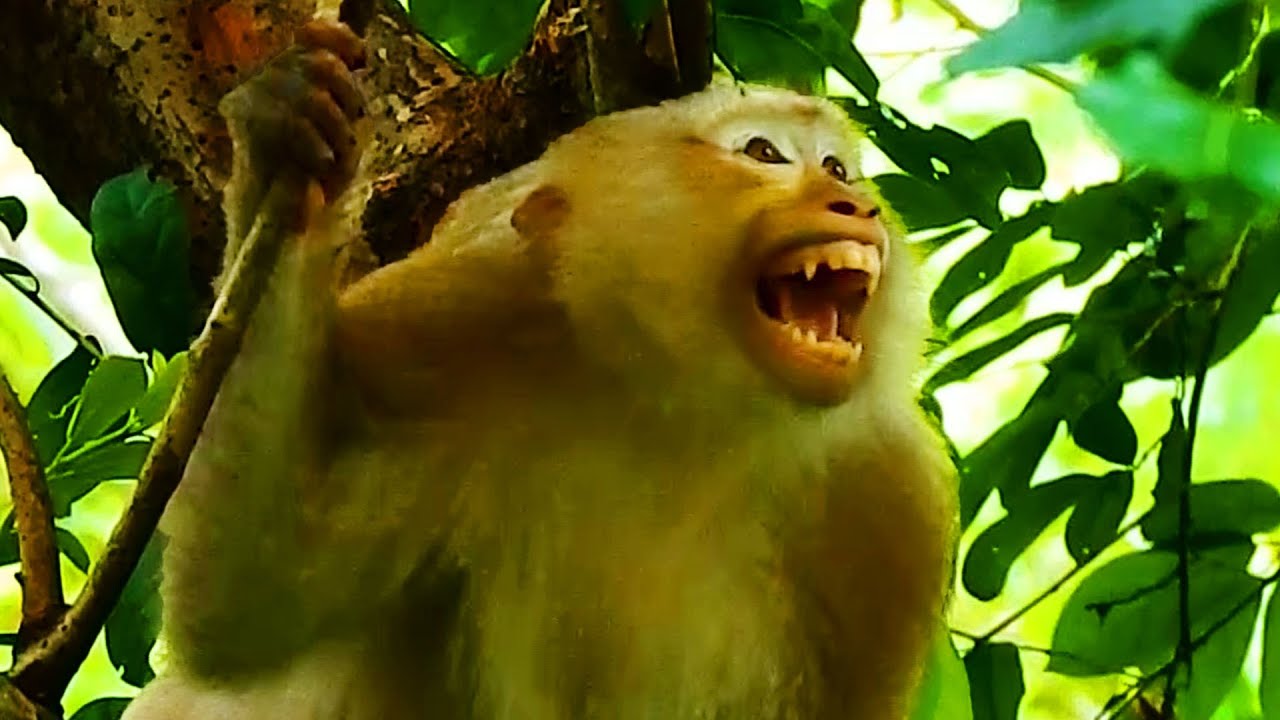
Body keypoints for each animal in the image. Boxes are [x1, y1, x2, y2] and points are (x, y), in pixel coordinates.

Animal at [120, 19, 957, 720]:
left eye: (837, 167)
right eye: (762, 153)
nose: (854, 204)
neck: (683, 405)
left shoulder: (888, 502)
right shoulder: (448, 324)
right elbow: (245, 606)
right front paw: (287, 149)